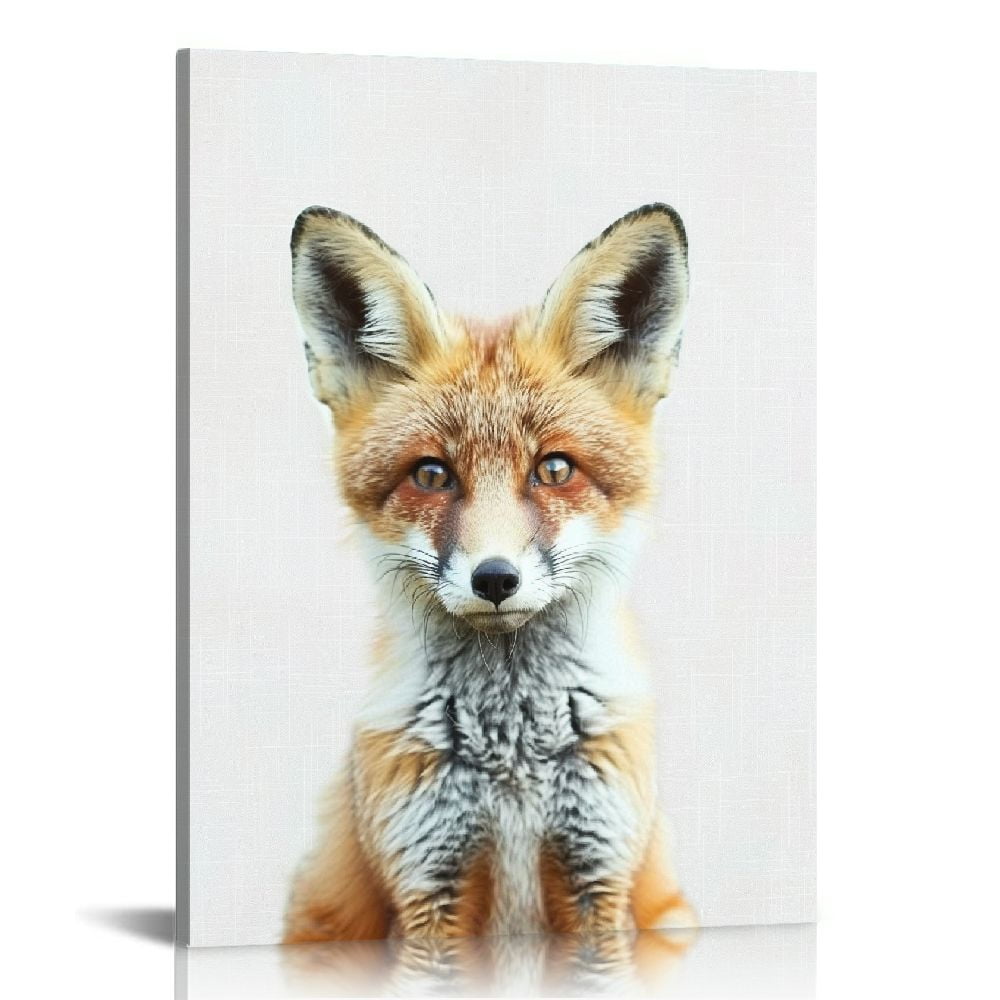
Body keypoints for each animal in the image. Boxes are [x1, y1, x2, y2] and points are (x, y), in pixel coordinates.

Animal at [282, 203, 695, 946]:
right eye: (431, 475)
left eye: (554, 468)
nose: (495, 579)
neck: (513, 759)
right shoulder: (426, 884)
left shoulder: (601, 875)